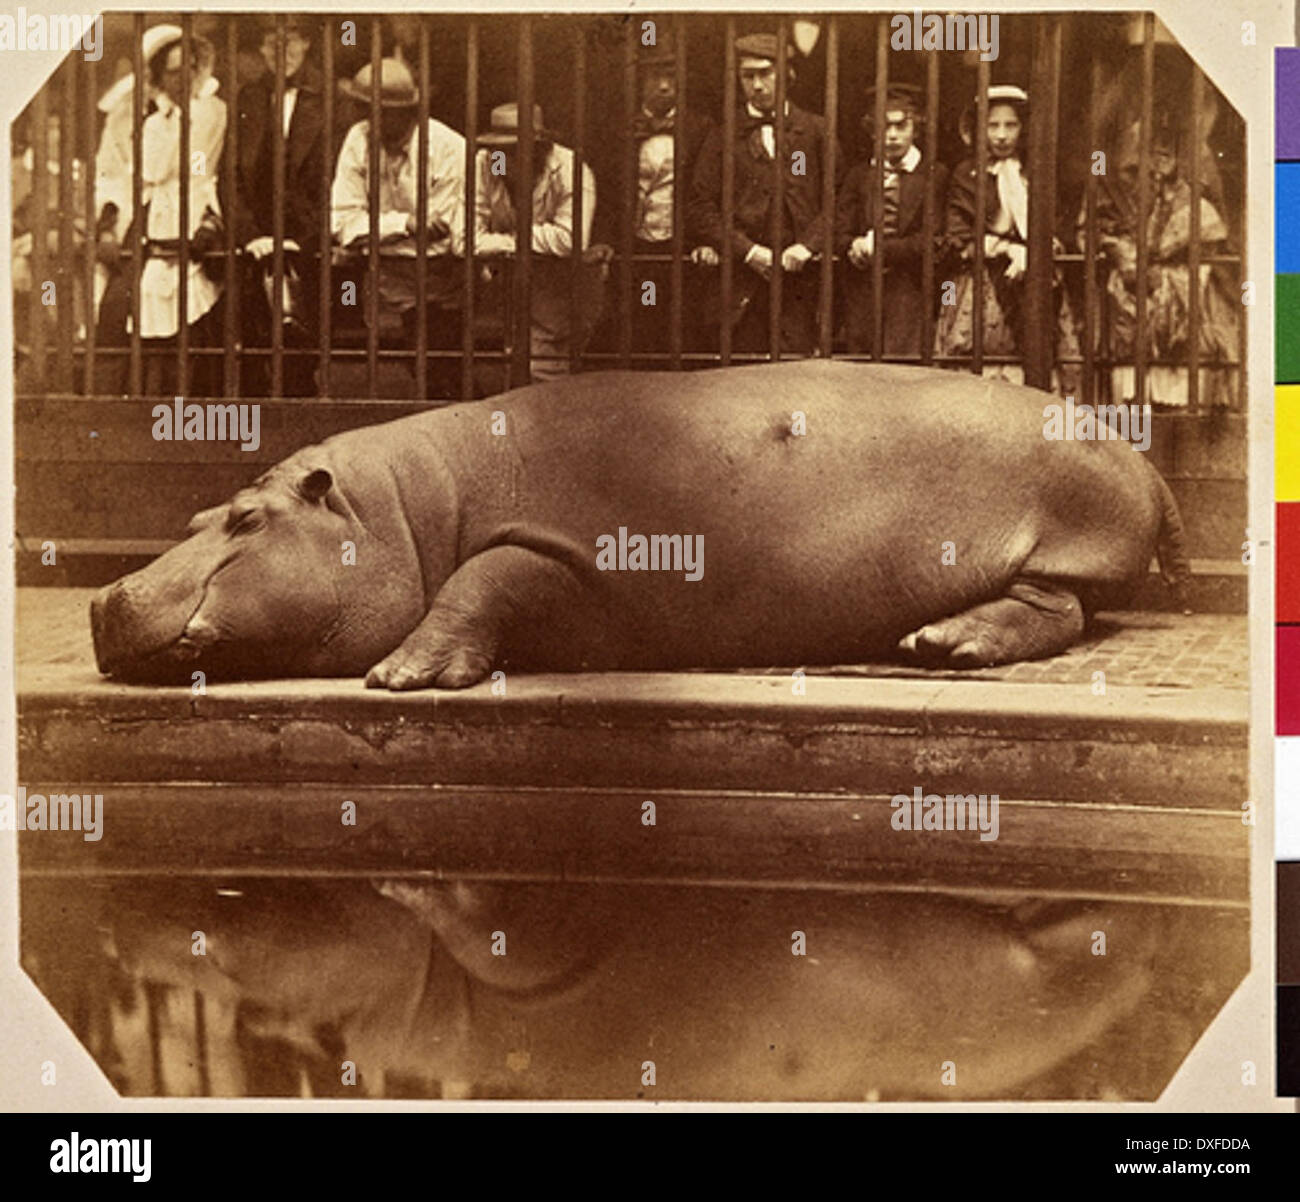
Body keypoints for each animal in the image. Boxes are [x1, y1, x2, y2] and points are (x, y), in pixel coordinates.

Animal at [90, 361, 1188, 685]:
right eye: (197, 509)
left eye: (245, 516)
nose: (104, 595)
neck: (406, 507)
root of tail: (1140, 453)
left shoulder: (555, 546)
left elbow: (480, 579)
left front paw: (402, 674)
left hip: (1065, 543)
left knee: (1057, 610)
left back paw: (945, 644)